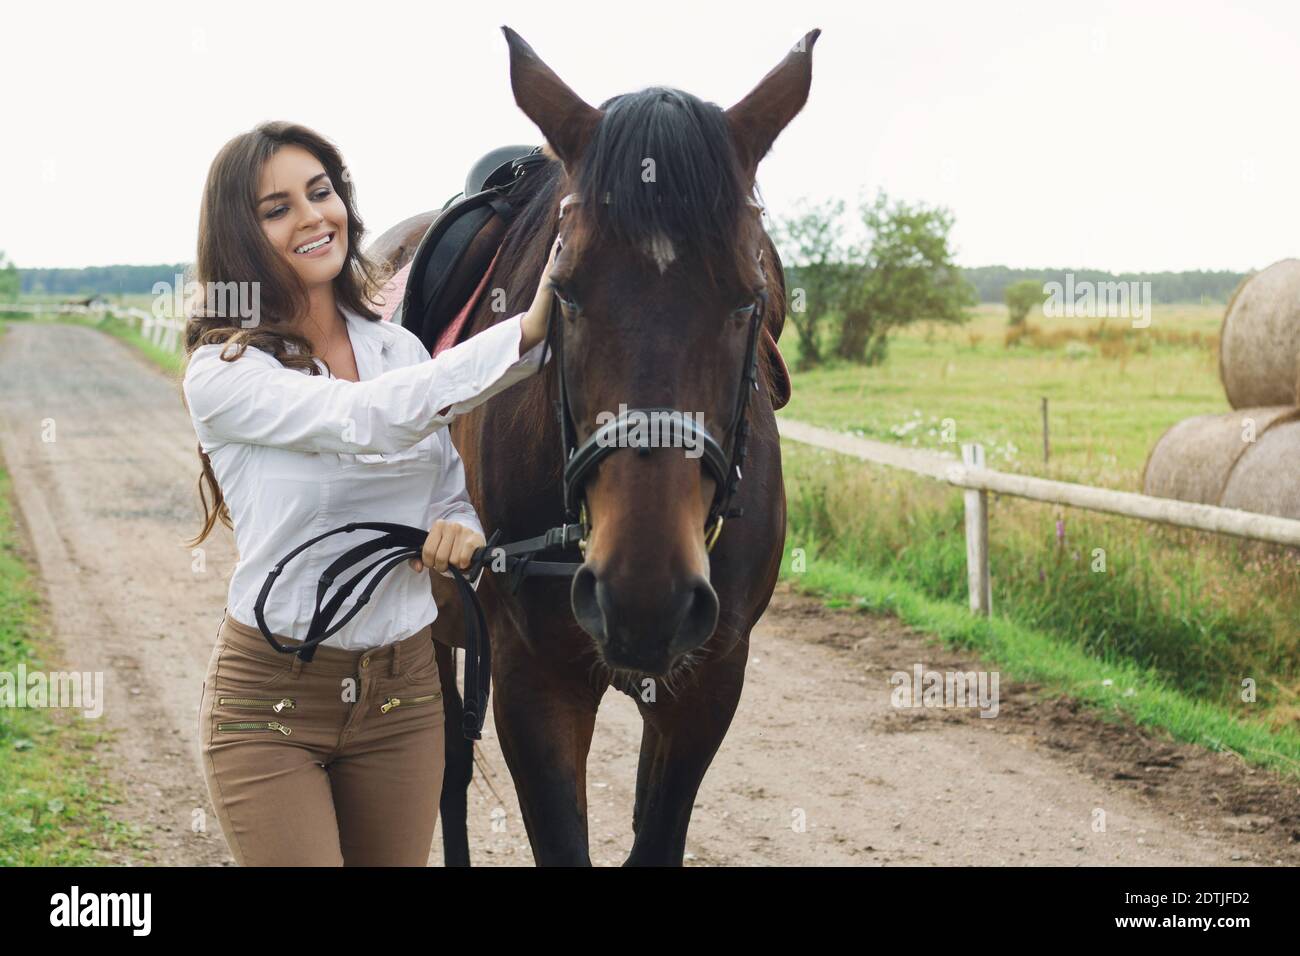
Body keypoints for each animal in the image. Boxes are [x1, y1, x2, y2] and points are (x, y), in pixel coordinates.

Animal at [379, 26, 819, 866]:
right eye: (566, 293)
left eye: (748, 297)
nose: (643, 593)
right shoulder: (534, 684)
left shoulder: (707, 683)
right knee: (444, 766)